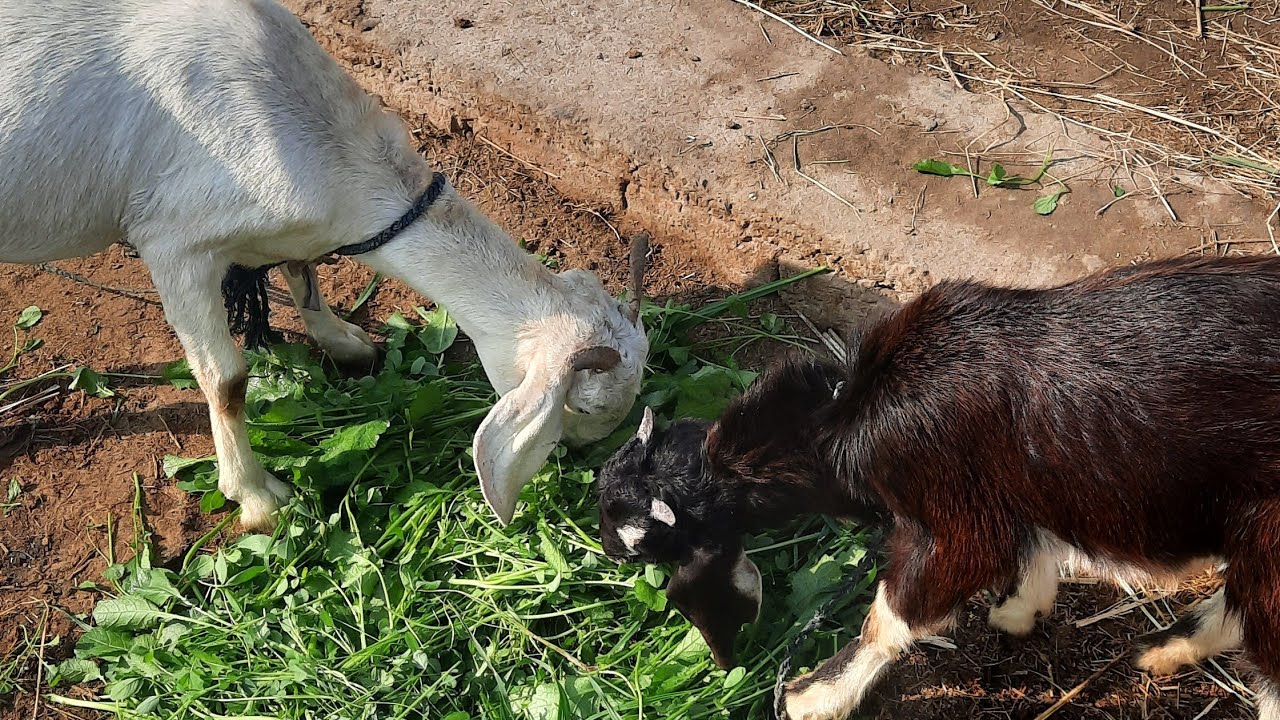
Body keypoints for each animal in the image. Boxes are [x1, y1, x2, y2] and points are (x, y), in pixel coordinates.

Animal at [0, 0, 648, 530]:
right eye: (585, 406)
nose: (591, 457)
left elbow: (301, 272)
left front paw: (345, 342)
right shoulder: (173, 242)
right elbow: (226, 380)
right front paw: (257, 497)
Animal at [597, 255, 1280, 720]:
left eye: (637, 538)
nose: (603, 546)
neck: (842, 416)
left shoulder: (954, 520)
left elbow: (892, 614)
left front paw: (811, 697)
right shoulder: (1008, 499)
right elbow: (1031, 551)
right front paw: (1019, 612)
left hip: (1267, 533)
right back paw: (1163, 648)